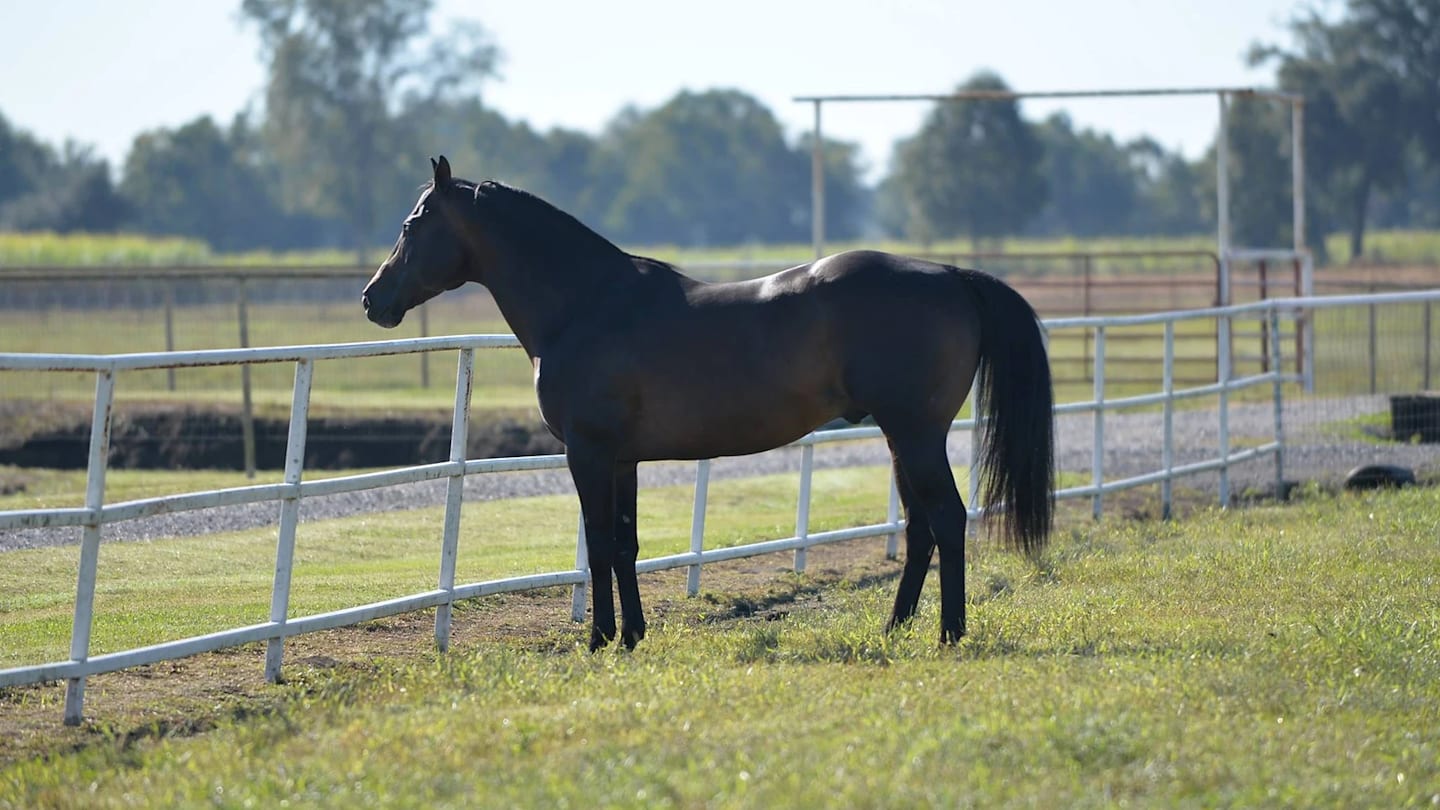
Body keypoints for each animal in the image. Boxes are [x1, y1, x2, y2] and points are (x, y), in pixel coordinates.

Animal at [362, 156, 1055, 651]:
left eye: (411, 225)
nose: (373, 299)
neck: (588, 303)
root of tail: (949, 275)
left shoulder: (589, 454)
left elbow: (599, 542)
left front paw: (599, 639)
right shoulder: (623, 459)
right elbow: (626, 543)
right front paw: (632, 637)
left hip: (915, 433)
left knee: (948, 519)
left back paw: (949, 635)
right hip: (898, 437)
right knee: (919, 528)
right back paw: (895, 629)